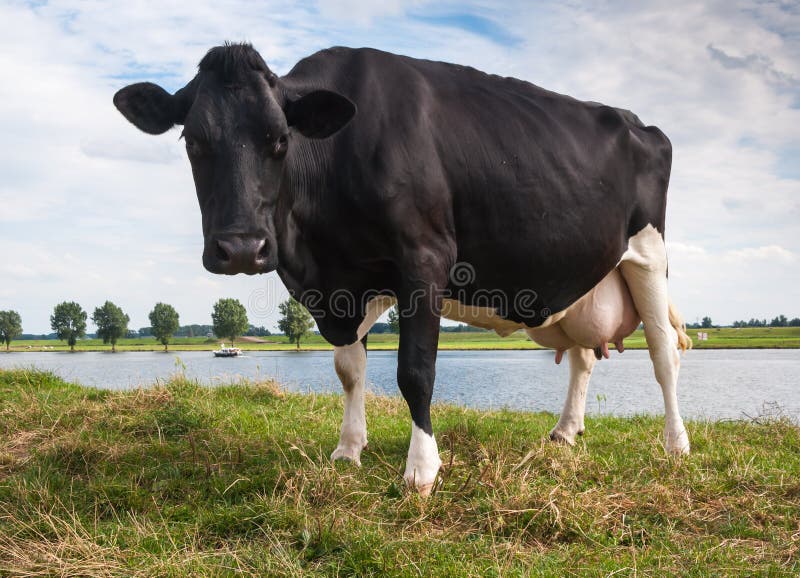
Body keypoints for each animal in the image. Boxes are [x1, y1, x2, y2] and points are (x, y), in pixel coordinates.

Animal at [114, 43, 692, 495]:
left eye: (279, 140)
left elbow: (415, 372)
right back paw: (565, 433)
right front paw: (348, 450)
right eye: (192, 140)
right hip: (580, 282)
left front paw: (422, 470)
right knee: (583, 357)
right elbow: (349, 371)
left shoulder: (424, 260)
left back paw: (676, 444)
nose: (240, 249)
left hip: (649, 255)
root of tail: (642, 124)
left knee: (664, 355)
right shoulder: (342, 287)